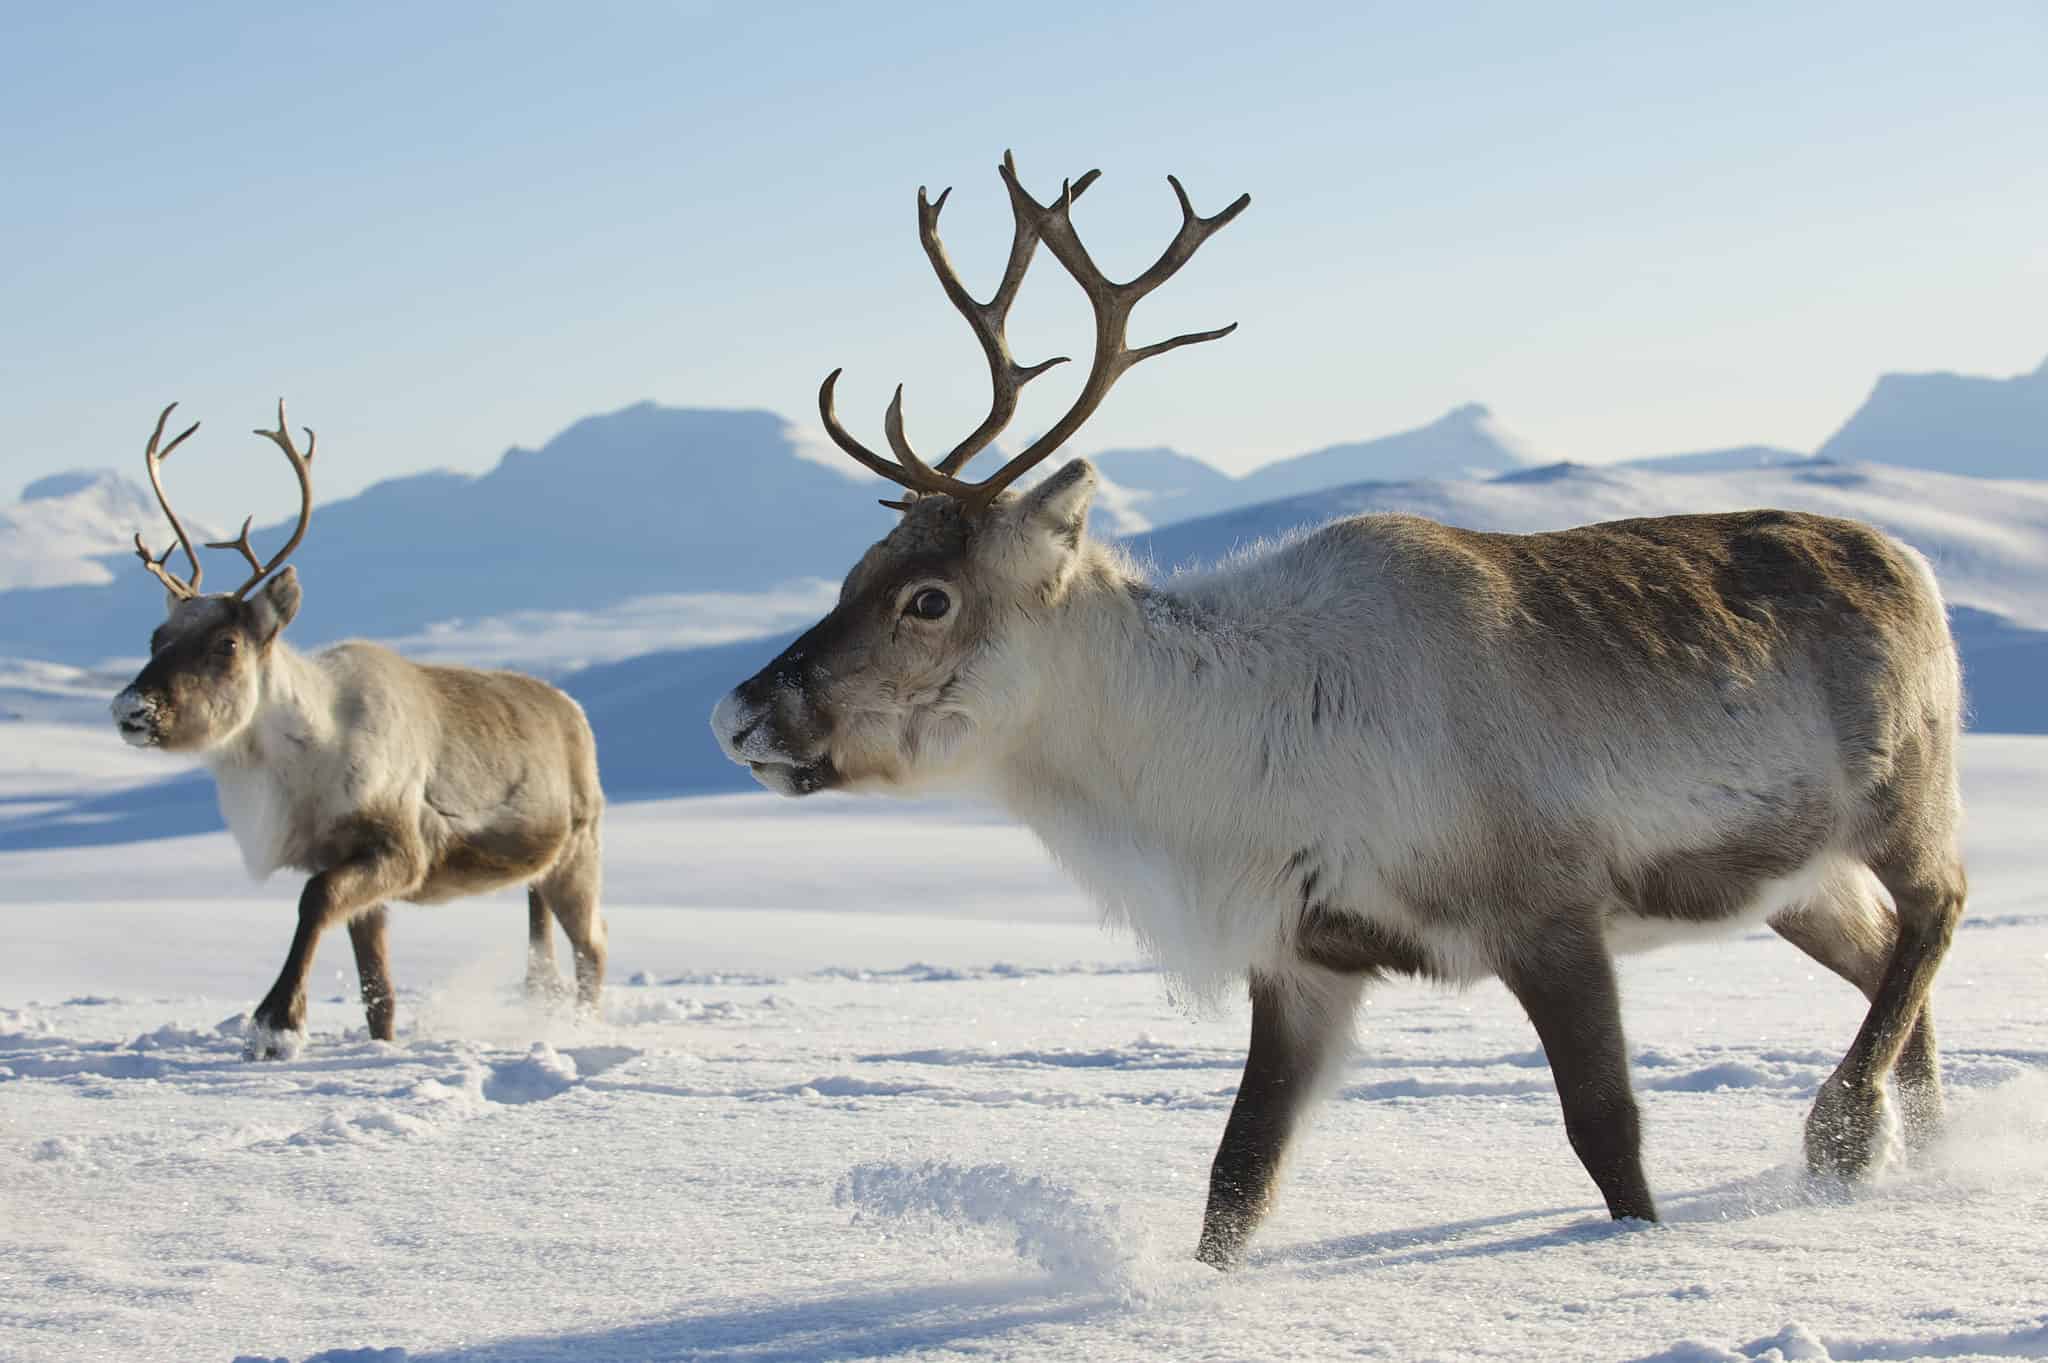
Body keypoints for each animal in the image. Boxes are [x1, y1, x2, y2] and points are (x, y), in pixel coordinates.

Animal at [111, 402, 607, 1060]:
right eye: (156, 638)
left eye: (227, 642)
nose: (131, 708)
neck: (306, 758)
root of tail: (574, 711)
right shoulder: (349, 865)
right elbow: (379, 992)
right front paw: (373, 1044)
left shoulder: (400, 850)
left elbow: (314, 900)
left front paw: (276, 1024)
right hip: (542, 872)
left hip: (579, 851)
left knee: (594, 949)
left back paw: (579, 1032)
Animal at [710, 153, 1968, 1268]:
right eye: (853, 571)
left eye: (926, 597)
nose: (737, 712)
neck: (1221, 755)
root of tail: (1908, 559)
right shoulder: (1304, 957)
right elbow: (1236, 1177)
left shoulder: (1545, 909)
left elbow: (1606, 1135)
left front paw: (1637, 1256)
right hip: (1790, 879)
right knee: (1884, 965)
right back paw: (1922, 1154)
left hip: (1902, 797)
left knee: (1934, 912)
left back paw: (1843, 1134)